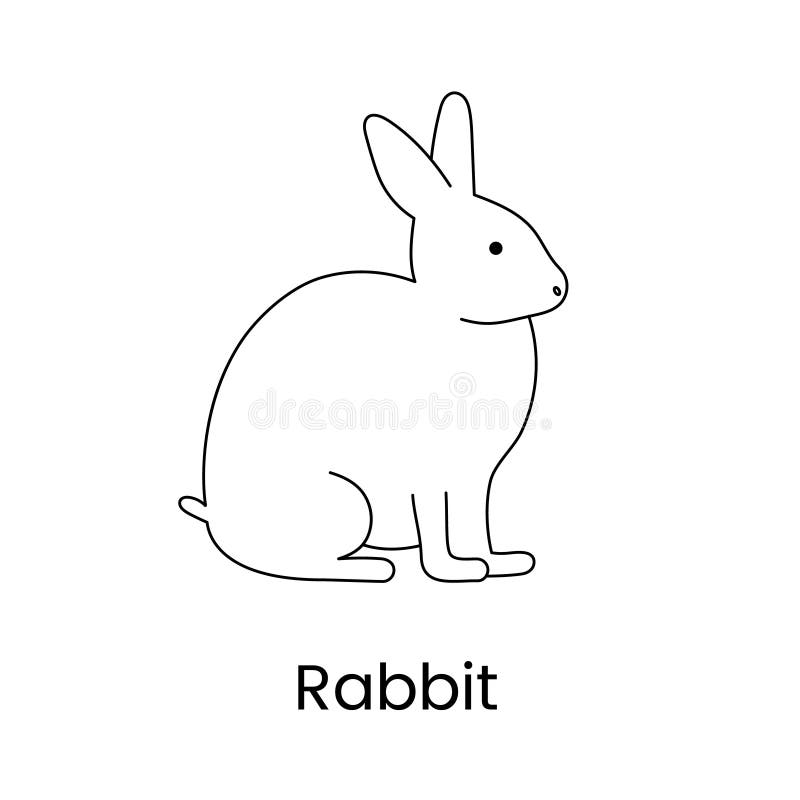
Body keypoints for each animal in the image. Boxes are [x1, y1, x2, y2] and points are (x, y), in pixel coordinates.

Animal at [179, 92, 568, 582]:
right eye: (495, 247)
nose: (560, 288)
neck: (456, 318)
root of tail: (217, 517)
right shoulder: (428, 469)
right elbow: (435, 525)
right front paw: (453, 572)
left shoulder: (475, 478)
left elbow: (475, 523)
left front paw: (502, 563)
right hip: (345, 505)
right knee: (298, 562)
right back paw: (372, 567)